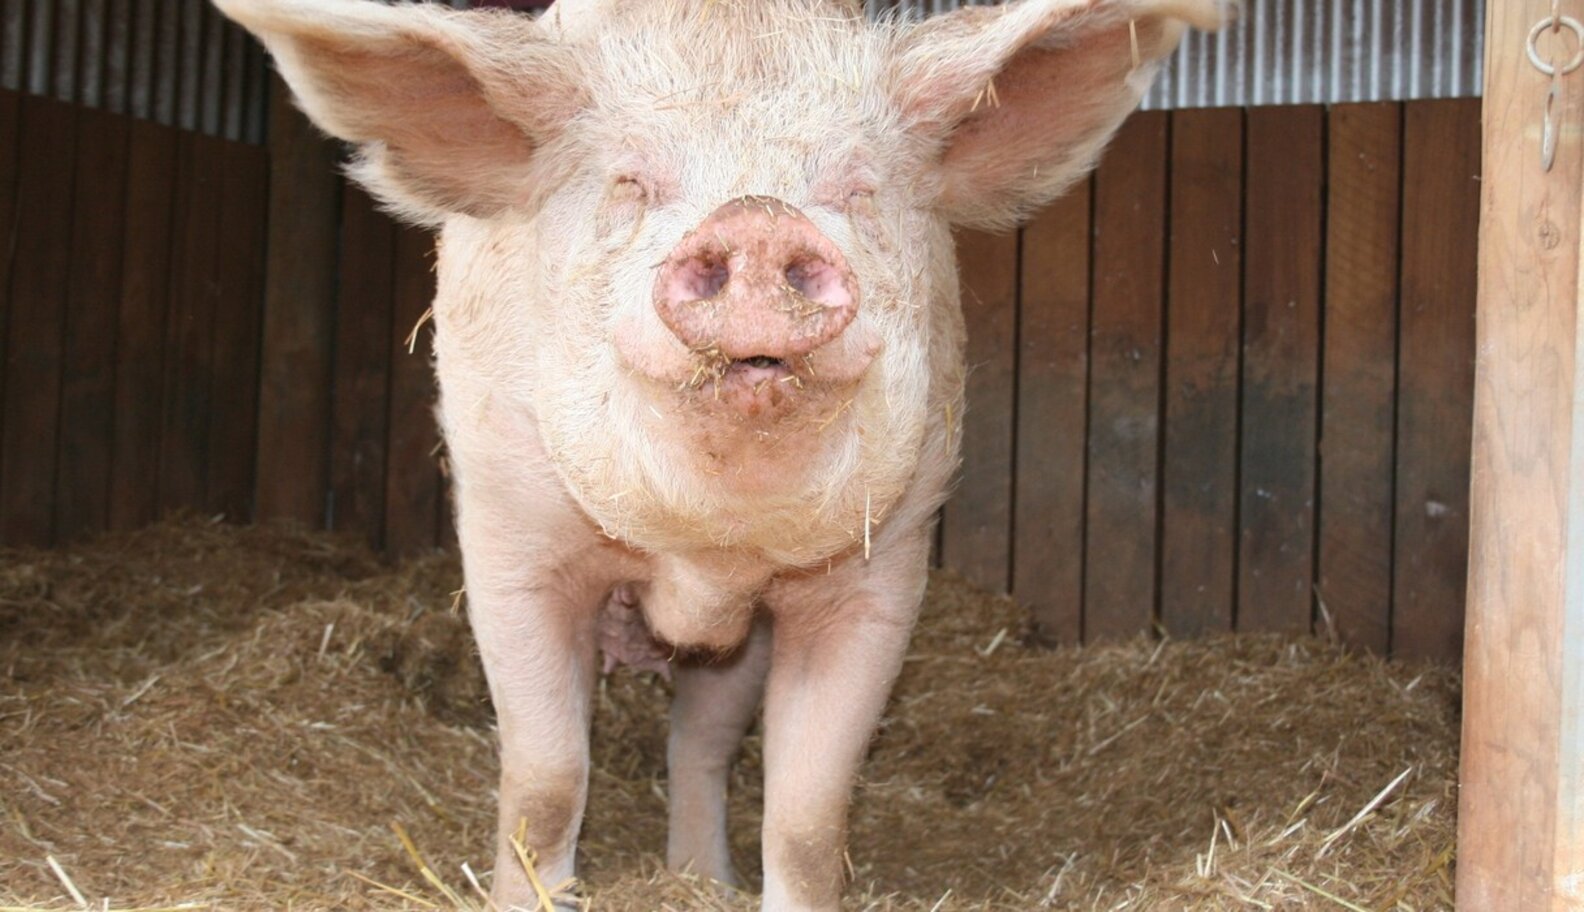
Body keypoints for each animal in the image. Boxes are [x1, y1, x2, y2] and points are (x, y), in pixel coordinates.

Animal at [212, 0, 1226, 908]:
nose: (759, 218)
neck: (709, 555)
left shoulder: (883, 572)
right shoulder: (509, 543)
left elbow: (809, 818)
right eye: (629, 183)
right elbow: (544, 783)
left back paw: (703, 882)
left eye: (858, 189)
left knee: (696, 745)